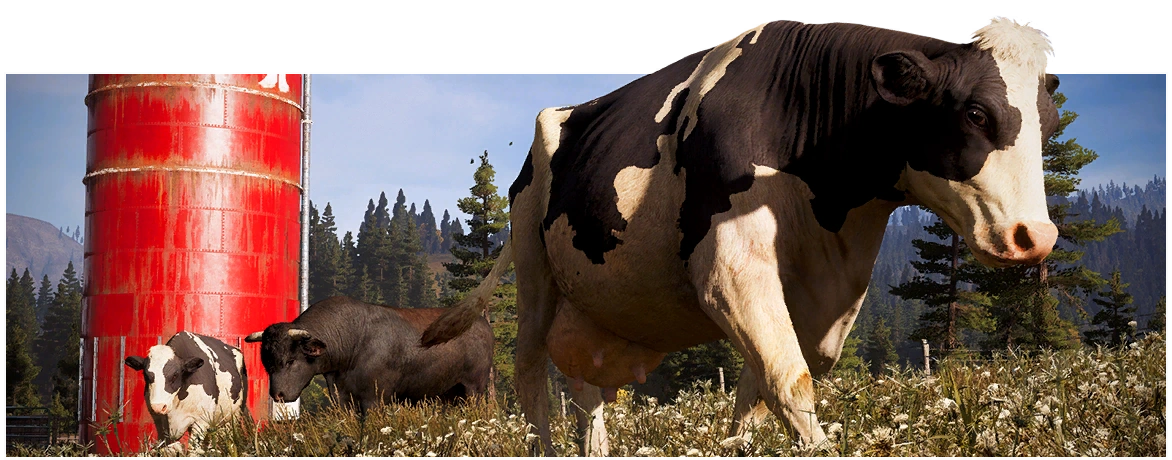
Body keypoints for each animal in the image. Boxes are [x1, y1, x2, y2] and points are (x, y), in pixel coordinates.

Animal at [243, 296, 494, 414]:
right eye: (266, 363)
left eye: (291, 360)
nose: (277, 395)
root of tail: (482, 323)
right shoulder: (342, 398)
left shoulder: (375, 398)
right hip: (451, 394)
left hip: (474, 389)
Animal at [420, 17, 1062, 458]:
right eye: (976, 114)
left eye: (1051, 123)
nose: (1036, 237)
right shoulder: (729, 267)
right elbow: (790, 380)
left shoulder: (825, 288)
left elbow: (762, 389)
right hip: (534, 270)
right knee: (531, 376)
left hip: (596, 308)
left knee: (588, 396)